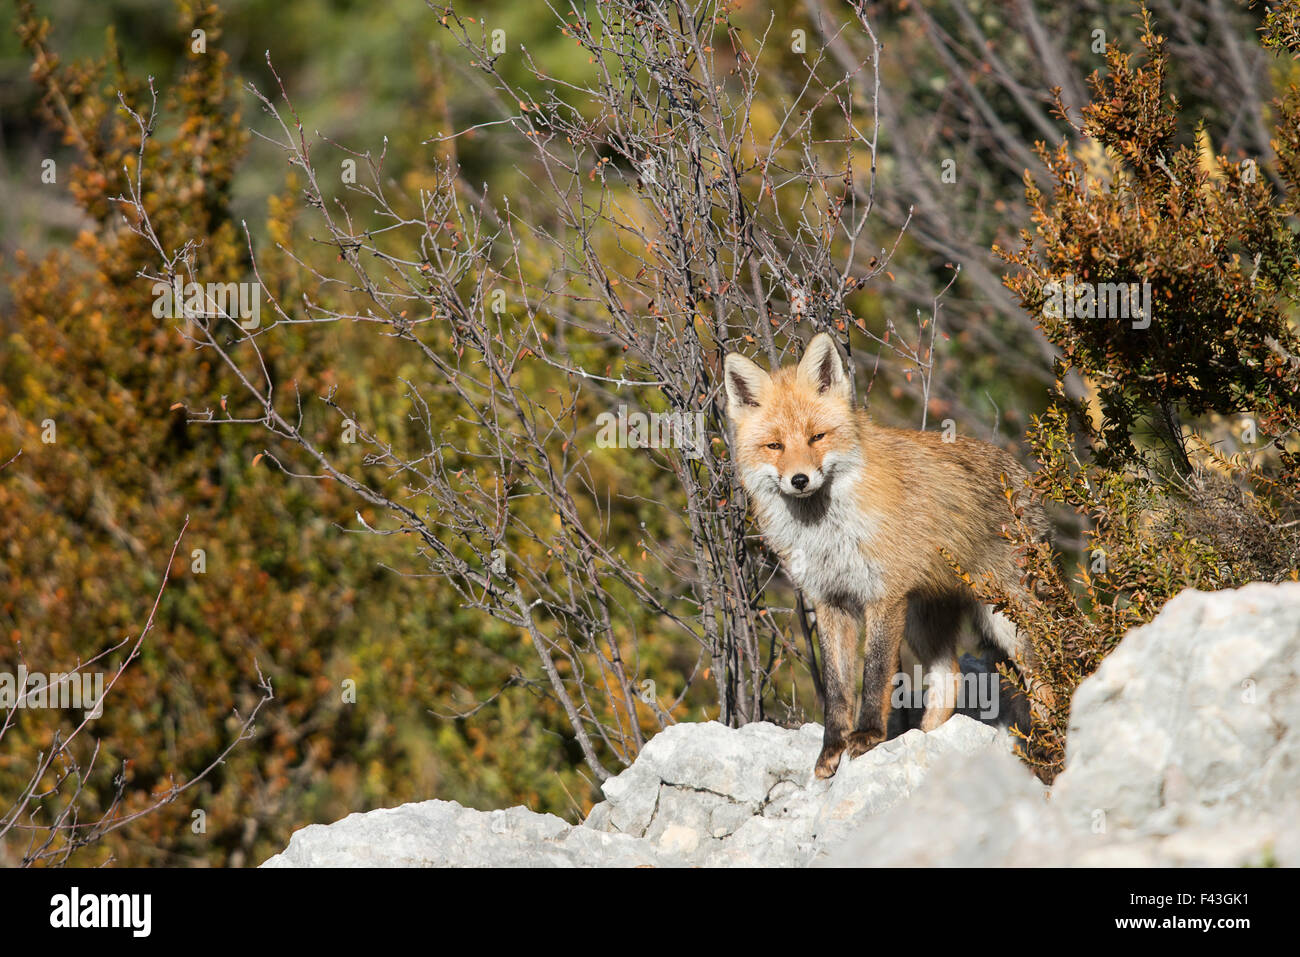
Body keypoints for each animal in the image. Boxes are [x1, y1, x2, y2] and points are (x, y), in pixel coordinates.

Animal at [723, 333, 1049, 779]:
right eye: (775, 446)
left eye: (817, 437)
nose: (800, 480)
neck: (827, 531)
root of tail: (1022, 476)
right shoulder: (830, 601)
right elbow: (838, 688)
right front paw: (831, 751)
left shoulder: (884, 595)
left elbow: (876, 674)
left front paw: (867, 737)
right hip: (921, 620)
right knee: (949, 677)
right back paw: (928, 743)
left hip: (1005, 620)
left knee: (1045, 679)